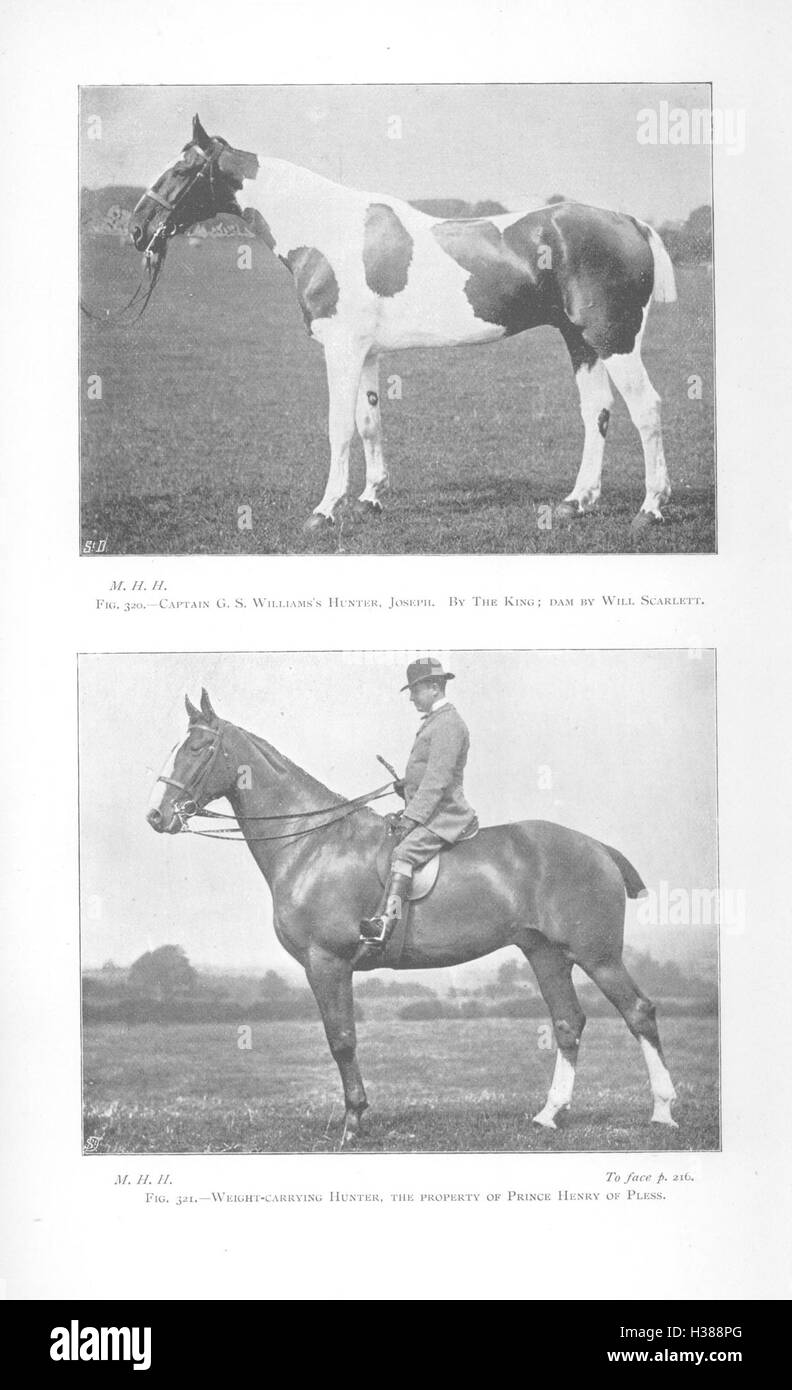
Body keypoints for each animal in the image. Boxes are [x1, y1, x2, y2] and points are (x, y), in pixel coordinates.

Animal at [128, 115, 678, 539]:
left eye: (183, 168)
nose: (136, 229)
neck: (328, 231)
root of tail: (631, 222)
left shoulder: (341, 350)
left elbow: (338, 427)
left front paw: (324, 511)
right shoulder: (368, 352)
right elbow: (370, 422)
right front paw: (370, 499)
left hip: (614, 340)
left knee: (647, 410)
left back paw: (650, 509)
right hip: (580, 340)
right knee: (597, 411)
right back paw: (576, 501)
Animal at [145, 690, 678, 1143]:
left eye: (198, 747)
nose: (157, 816)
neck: (313, 842)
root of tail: (598, 847)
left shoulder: (327, 962)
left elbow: (342, 1040)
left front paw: (353, 1123)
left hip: (598, 955)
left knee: (638, 1012)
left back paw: (662, 1111)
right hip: (545, 953)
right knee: (568, 1022)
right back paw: (549, 1115)